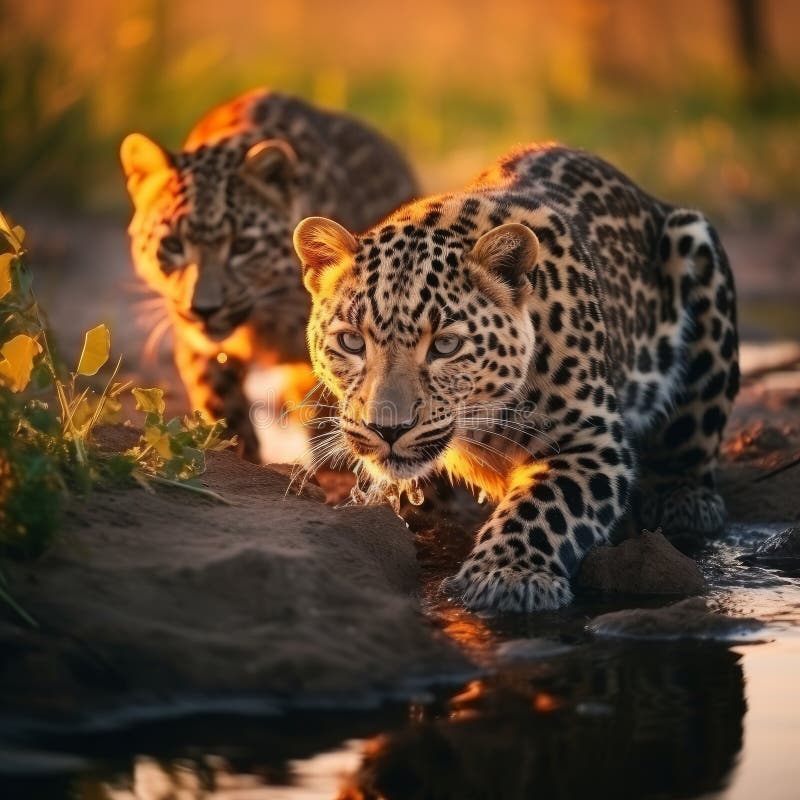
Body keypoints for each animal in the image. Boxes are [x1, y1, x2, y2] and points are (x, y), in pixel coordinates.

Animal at [120, 88, 418, 461]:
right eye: (173, 244)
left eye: (243, 245)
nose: (204, 309)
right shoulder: (193, 338)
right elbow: (218, 399)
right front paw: (234, 449)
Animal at [293, 143, 739, 612]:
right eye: (352, 342)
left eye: (445, 346)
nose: (388, 429)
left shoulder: (590, 439)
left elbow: (546, 505)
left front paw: (507, 575)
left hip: (697, 248)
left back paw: (684, 500)